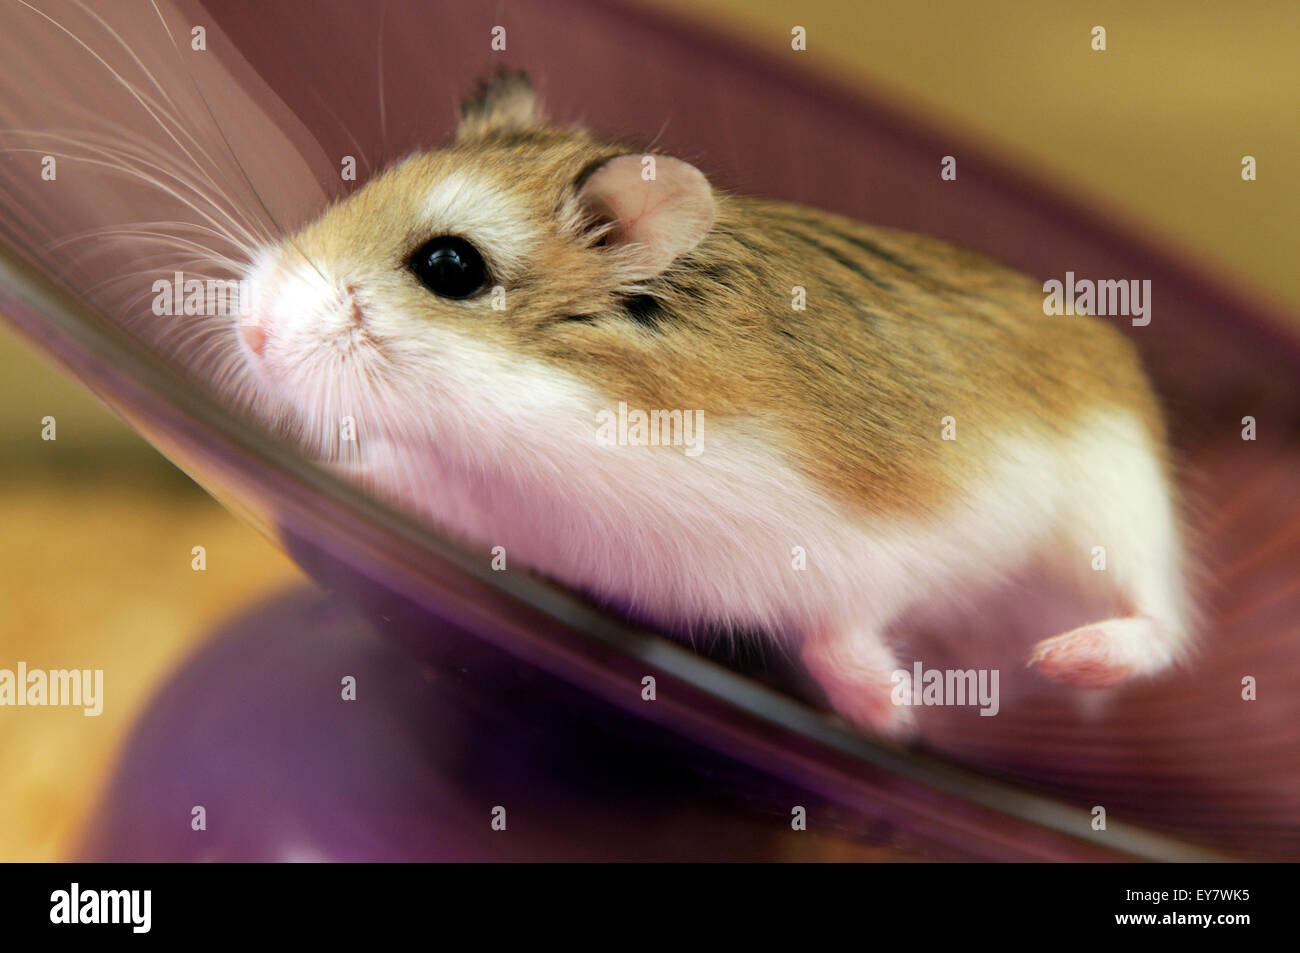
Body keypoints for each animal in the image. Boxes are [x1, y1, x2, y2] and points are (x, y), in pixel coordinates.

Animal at [235, 70, 1192, 737]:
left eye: (449, 266)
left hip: (1115, 507)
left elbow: (842, 626)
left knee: (1163, 621)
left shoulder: (876, 541)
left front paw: (893, 716)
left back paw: (1067, 660)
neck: (549, 425)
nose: (247, 328)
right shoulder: (493, 504)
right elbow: (394, 473)